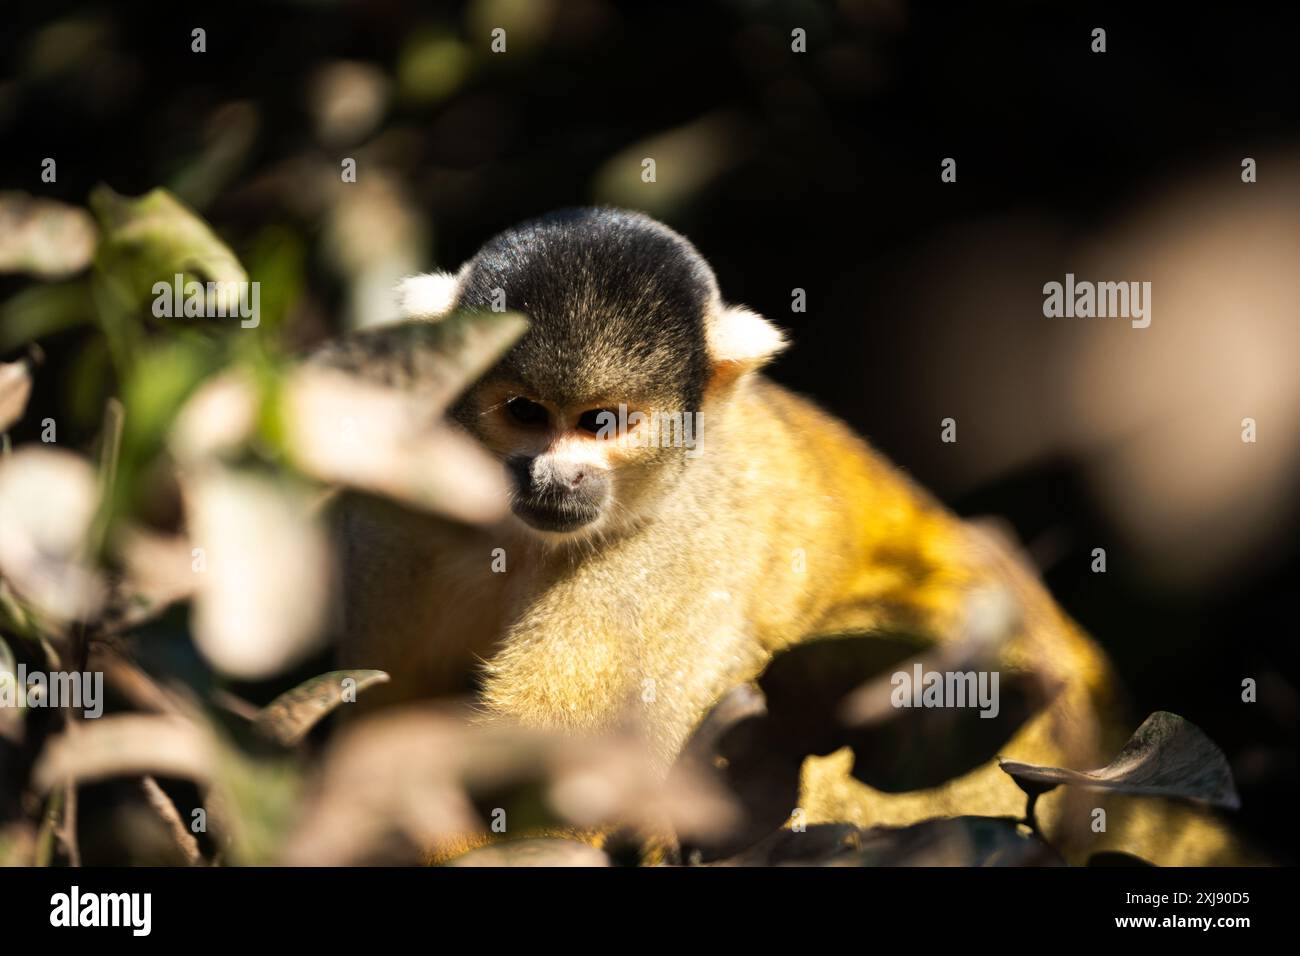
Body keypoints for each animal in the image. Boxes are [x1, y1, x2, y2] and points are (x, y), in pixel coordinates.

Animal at [323, 207, 1246, 866]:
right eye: (524, 413)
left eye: (602, 423)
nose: (558, 479)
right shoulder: (400, 494)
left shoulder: (664, 554)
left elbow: (546, 807)